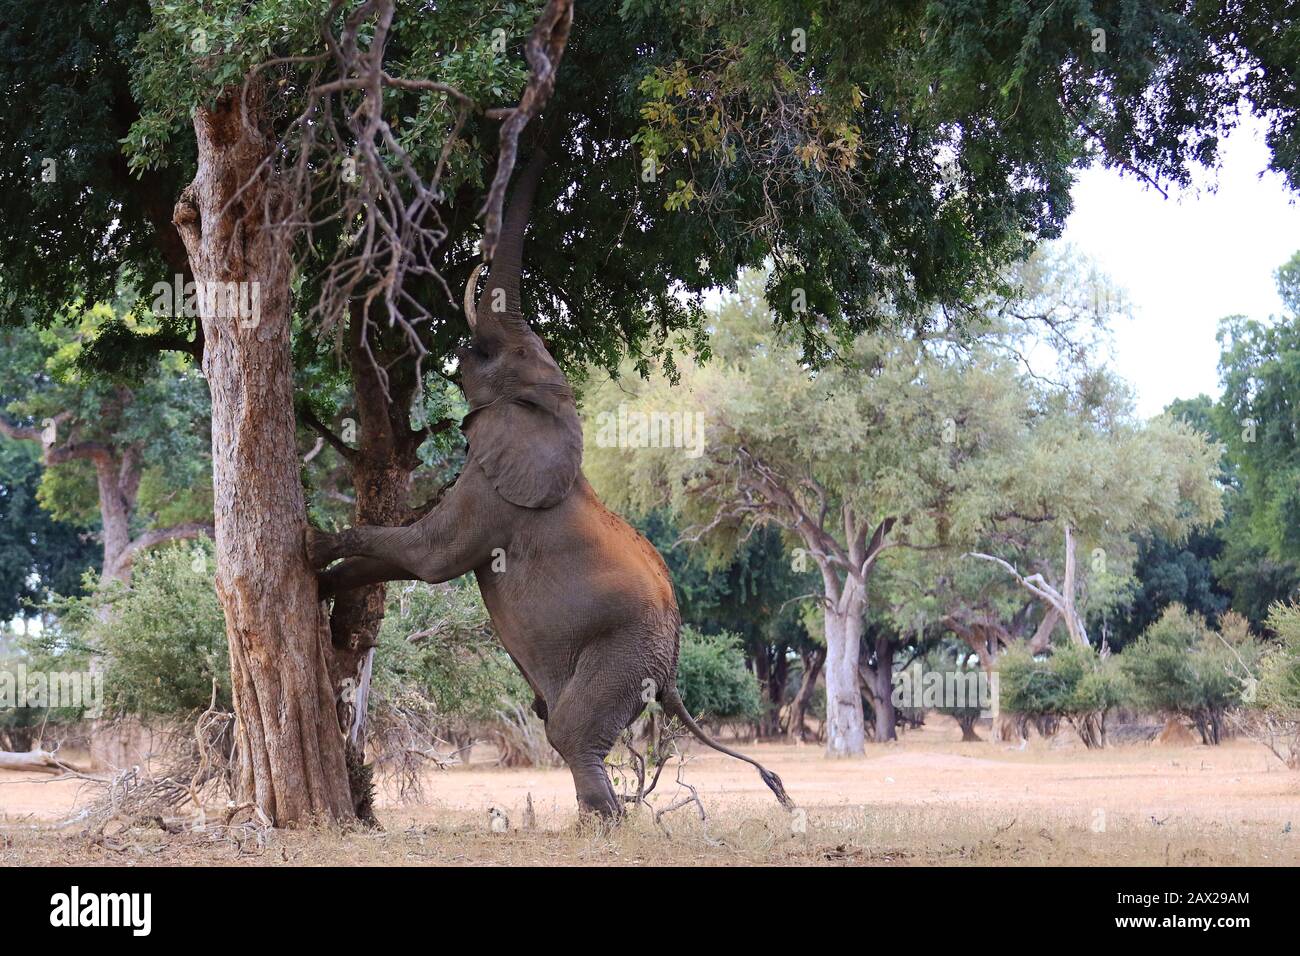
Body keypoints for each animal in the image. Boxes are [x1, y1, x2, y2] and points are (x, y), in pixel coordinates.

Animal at [306, 147, 792, 819]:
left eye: (493, 355)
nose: (533, 140)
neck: (552, 408)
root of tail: (670, 672)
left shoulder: (495, 490)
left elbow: (431, 557)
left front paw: (310, 549)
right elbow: (409, 560)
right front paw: (326, 590)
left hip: (620, 653)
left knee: (568, 730)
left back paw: (601, 825)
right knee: (560, 723)